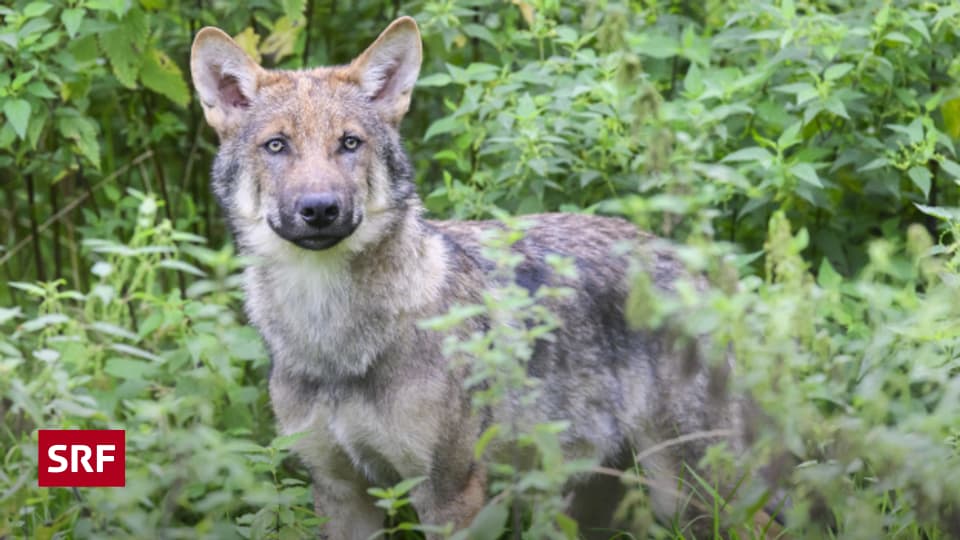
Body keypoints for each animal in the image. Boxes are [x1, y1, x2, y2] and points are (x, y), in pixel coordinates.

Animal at [190, 17, 769, 539]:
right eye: (277, 146)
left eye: (349, 144)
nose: (319, 209)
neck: (332, 336)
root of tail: (699, 267)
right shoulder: (340, 492)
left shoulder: (449, 491)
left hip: (694, 493)